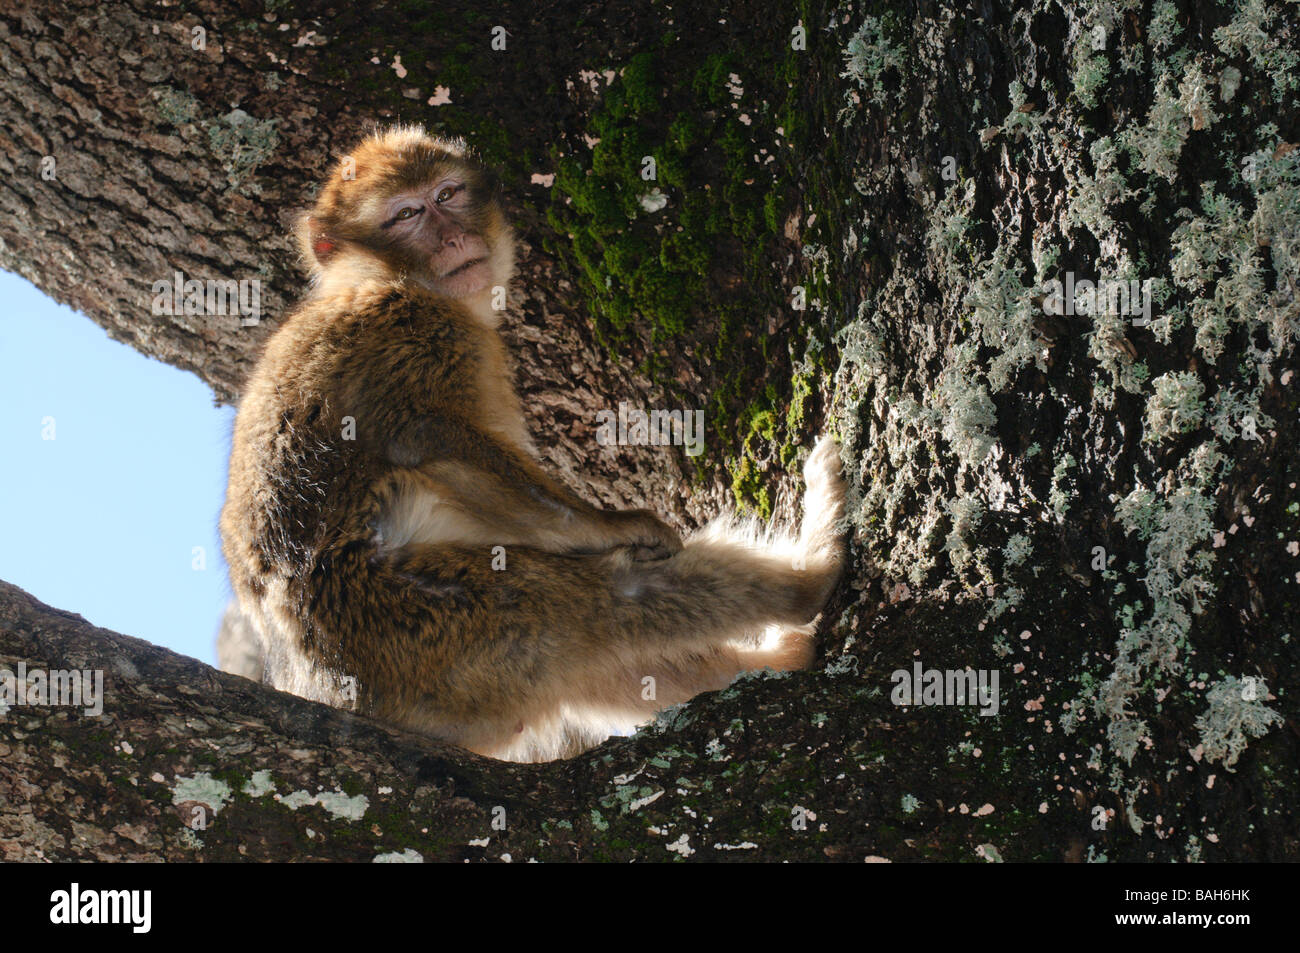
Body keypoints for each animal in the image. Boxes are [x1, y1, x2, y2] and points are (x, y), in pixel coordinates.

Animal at [219, 126, 847, 762]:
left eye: (446, 195)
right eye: (406, 215)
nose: (453, 237)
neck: (380, 277)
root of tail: (321, 685)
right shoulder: (417, 330)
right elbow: (427, 442)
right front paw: (615, 527)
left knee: (592, 661)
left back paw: (784, 653)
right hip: (408, 624)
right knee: (603, 595)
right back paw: (812, 574)